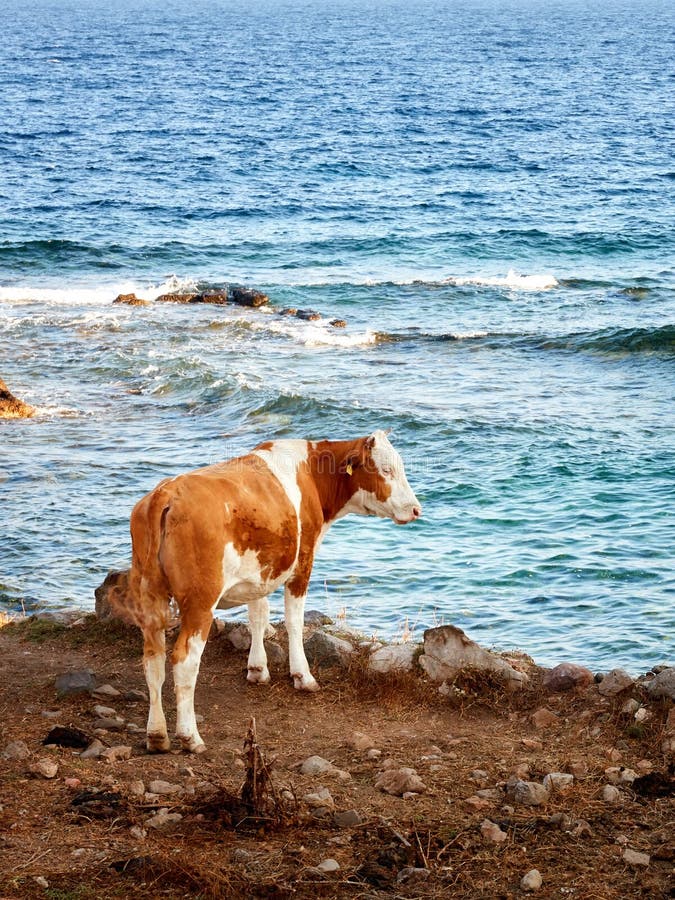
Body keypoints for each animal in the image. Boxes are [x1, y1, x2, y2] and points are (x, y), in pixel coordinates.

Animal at [109, 430, 421, 753]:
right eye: (386, 469)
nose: (415, 509)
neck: (311, 472)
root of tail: (166, 493)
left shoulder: (261, 571)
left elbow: (258, 615)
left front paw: (257, 669)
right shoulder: (302, 562)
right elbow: (294, 622)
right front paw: (302, 676)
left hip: (150, 594)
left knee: (153, 659)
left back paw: (157, 735)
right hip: (200, 601)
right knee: (184, 660)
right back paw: (190, 736)